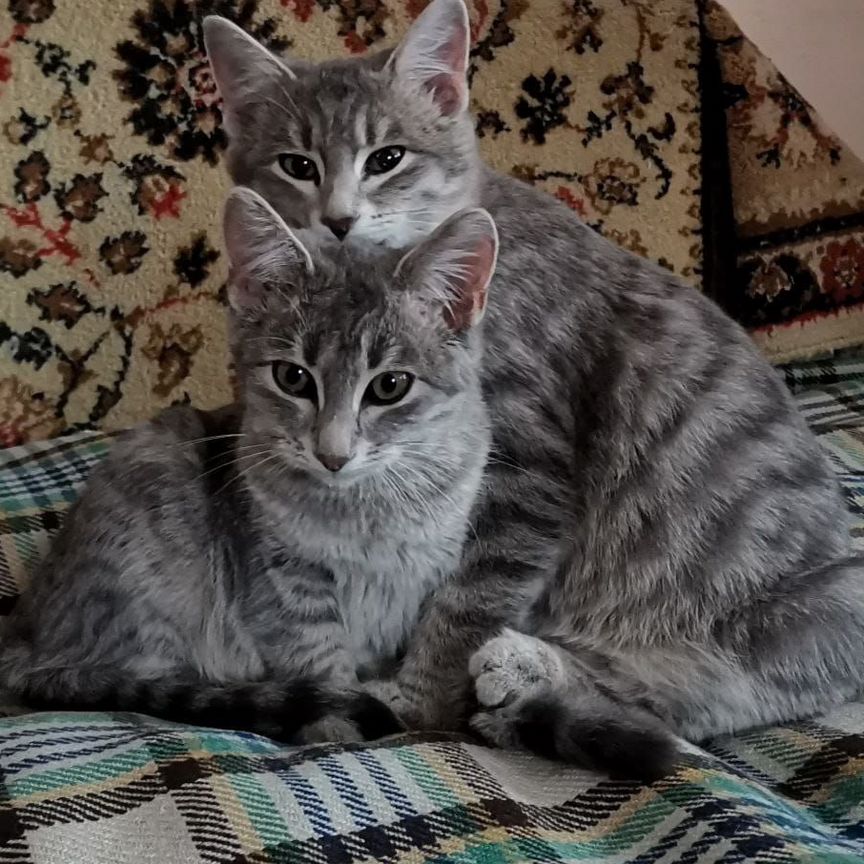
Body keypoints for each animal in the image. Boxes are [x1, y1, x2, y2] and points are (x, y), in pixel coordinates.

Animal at [0, 188, 497, 746]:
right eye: (292, 377)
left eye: (390, 386)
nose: (332, 454)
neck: (369, 509)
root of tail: (24, 636)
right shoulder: (282, 578)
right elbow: (318, 657)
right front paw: (339, 723)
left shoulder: (432, 573)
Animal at [203, 0, 864, 779]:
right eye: (297, 166)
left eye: (387, 158)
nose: (338, 219)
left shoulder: (529, 462)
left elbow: (469, 596)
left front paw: (418, 696)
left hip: (786, 621)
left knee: (709, 689)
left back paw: (524, 665)